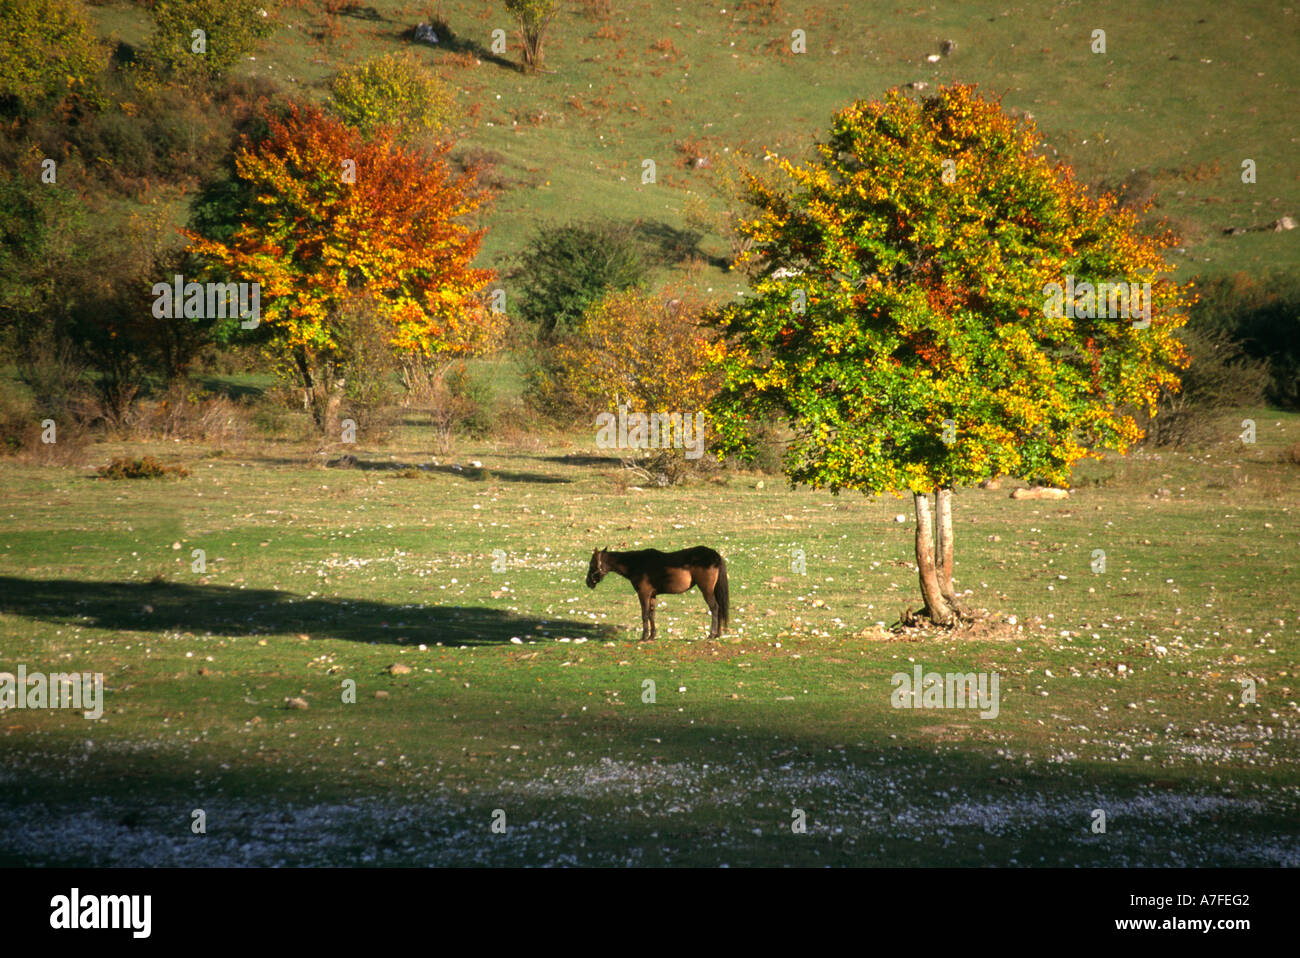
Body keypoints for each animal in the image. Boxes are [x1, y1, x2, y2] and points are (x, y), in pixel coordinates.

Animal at [586, 546, 729, 641]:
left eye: (592, 564)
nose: (588, 582)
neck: (636, 564)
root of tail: (715, 556)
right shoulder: (652, 595)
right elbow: (652, 614)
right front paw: (652, 636)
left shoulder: (643, 594)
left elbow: (644, 615)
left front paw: (644, 637)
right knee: (720, 608)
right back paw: (718, 634)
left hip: (706, 590)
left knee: (715, 608)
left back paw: (711, 634)